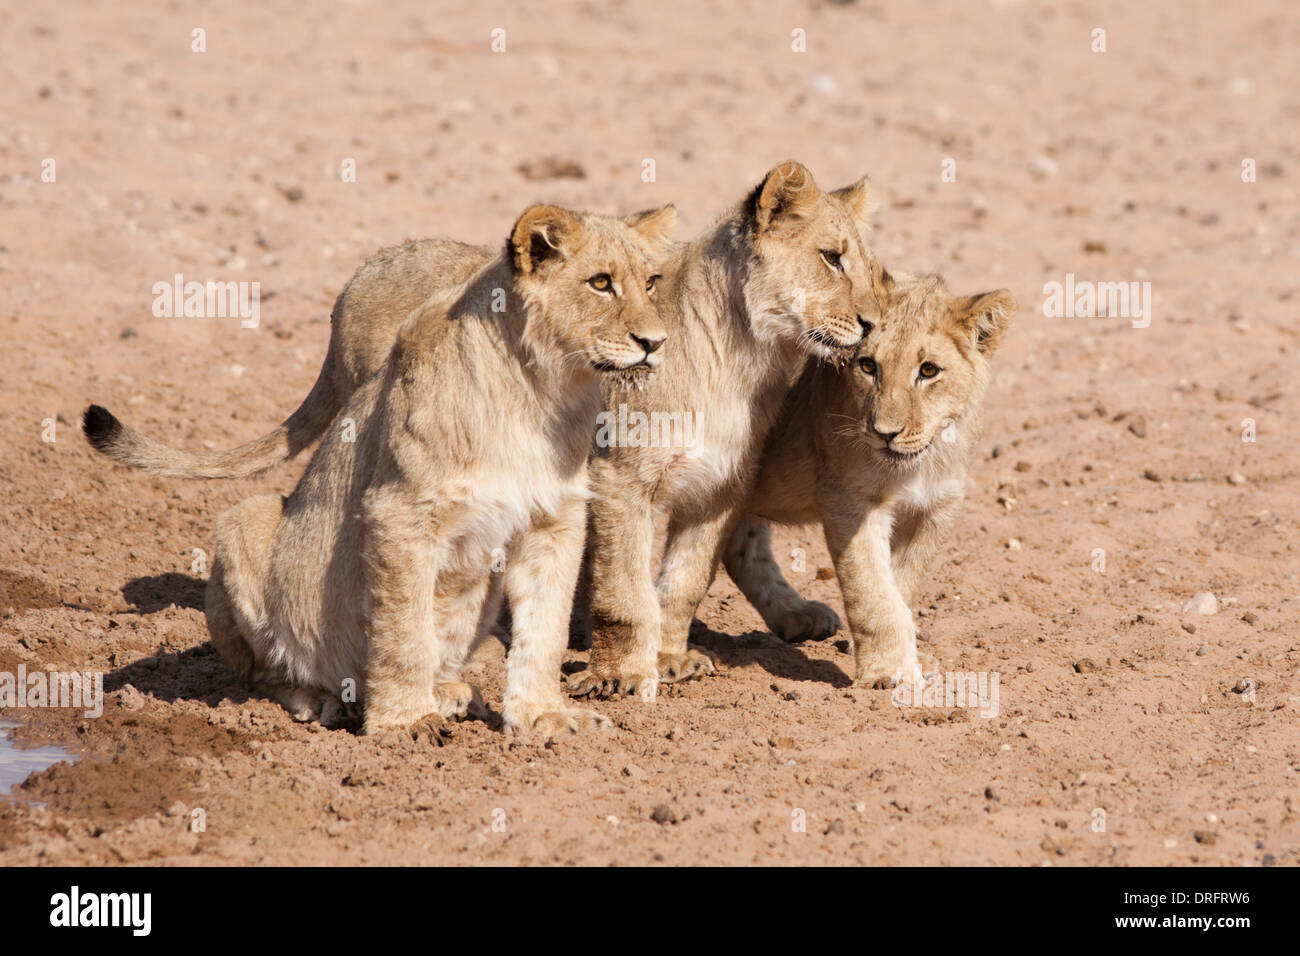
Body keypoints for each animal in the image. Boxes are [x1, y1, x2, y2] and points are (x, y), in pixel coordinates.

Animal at [197, 202, 674, 739]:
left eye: (651, 282)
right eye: (600, 283)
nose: (656, 342)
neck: (541, 393)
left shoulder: (554, 520)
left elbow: (545, 629)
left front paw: (543, 714)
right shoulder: (399, 512)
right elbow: (403, 631)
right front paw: (405, 722)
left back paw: (450, 692)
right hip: (245, 519)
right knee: (265, 673)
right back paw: (325, 700)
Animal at [722, 271, 1015, 687]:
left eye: (929, 371)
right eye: (867, 366)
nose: (884, 433)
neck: (920, 463)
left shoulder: (938, 507)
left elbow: (903, 584)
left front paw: (908, 657)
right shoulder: (850, 500)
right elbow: (872, 590)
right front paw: (888, 672)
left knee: (741, 548)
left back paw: (798, 616)